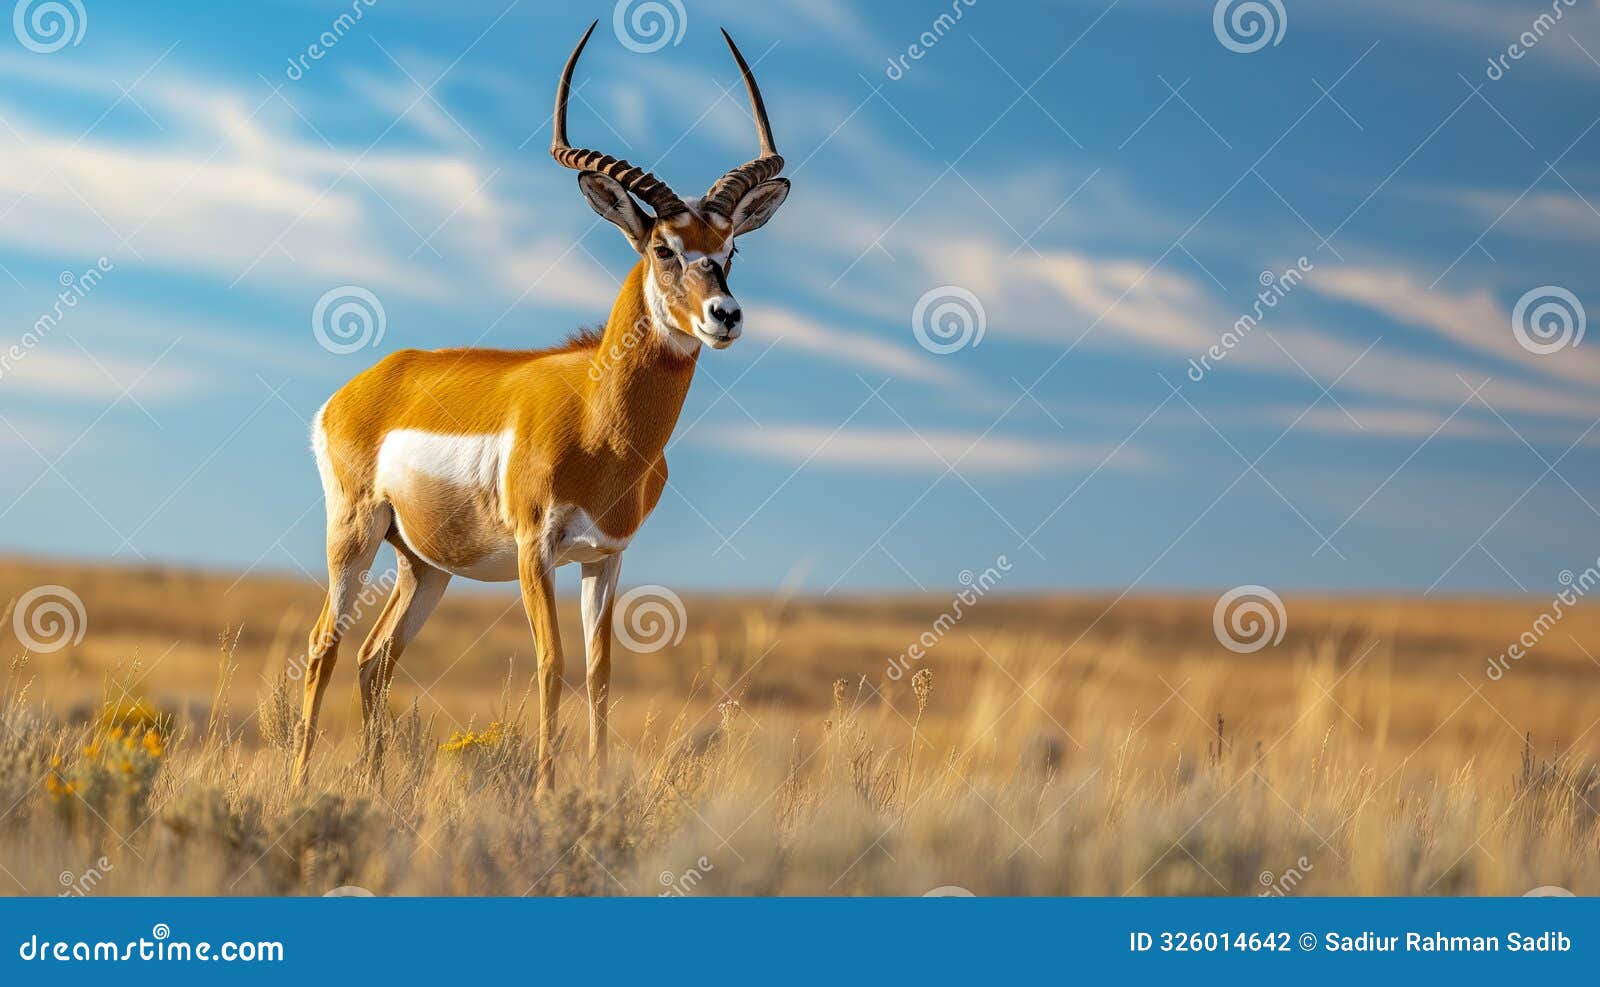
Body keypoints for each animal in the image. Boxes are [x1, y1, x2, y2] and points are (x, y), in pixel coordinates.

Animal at [291, 22, 789, 791]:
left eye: (730, 248)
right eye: (663, 246)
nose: (725, 316)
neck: (596, 415)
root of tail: (370, 381)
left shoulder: (605, 556)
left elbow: (601, 674)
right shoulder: (536, 548)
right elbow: (552, 666)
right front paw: (550, 790)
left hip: (424, 564)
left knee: (376, 659)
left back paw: (373, 785)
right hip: (355, 533)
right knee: (324, 645)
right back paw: (298, 786)